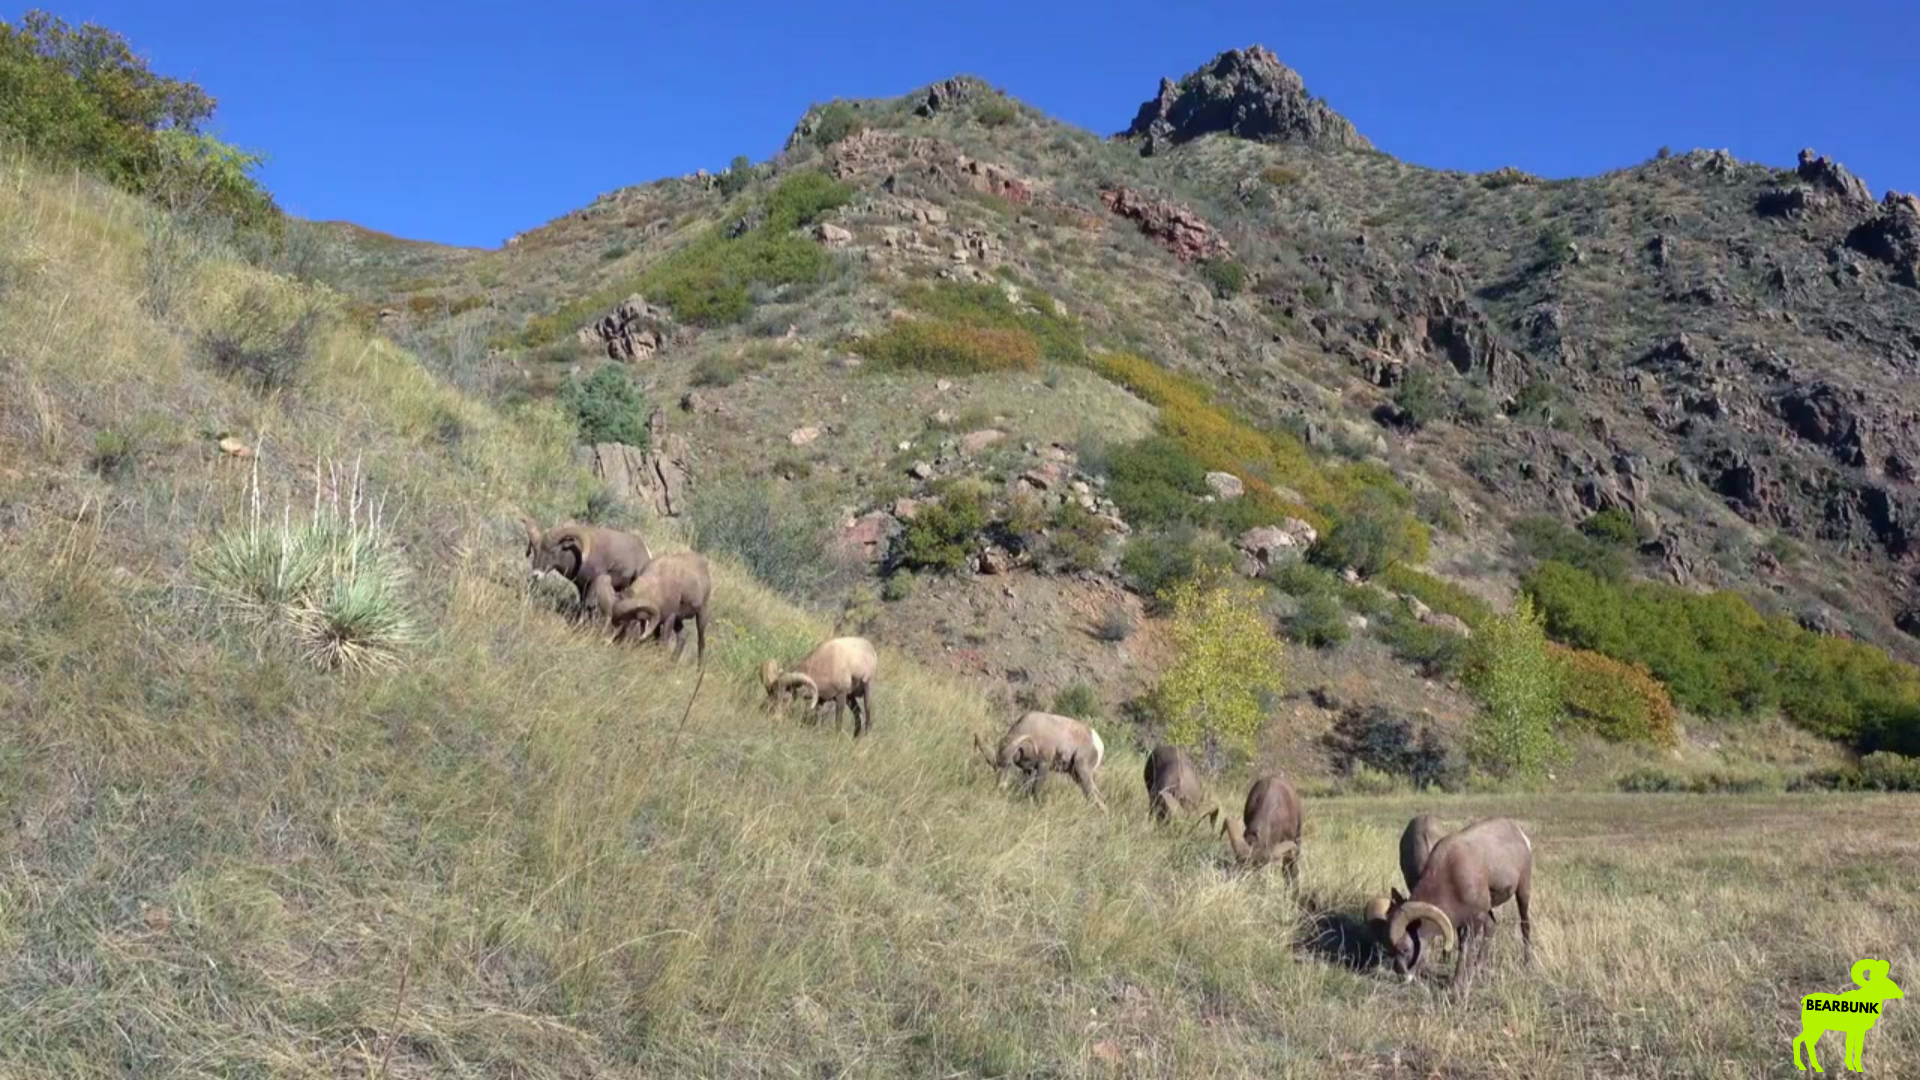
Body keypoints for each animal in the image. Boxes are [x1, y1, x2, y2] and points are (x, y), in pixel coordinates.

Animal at [975, 711, 1106, 808]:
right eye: (994, 767)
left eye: (1008, 764)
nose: (1000, 787)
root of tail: (1098, 743)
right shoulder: (1028, 770)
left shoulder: (1043, 765)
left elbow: (1035, 790)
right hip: (1076, 775)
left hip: (1082, 772)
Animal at [1367, 816, 1534, 985]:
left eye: (1405, 949)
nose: (1402, 975)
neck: (1451, 875)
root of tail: (1519, 833)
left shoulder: (1475, 919)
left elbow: (1465, 947)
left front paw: (1458, 983)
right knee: (1492, 927)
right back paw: (1479, 968)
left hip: (1523, 891)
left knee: (1524, 925)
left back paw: (1526, 962)